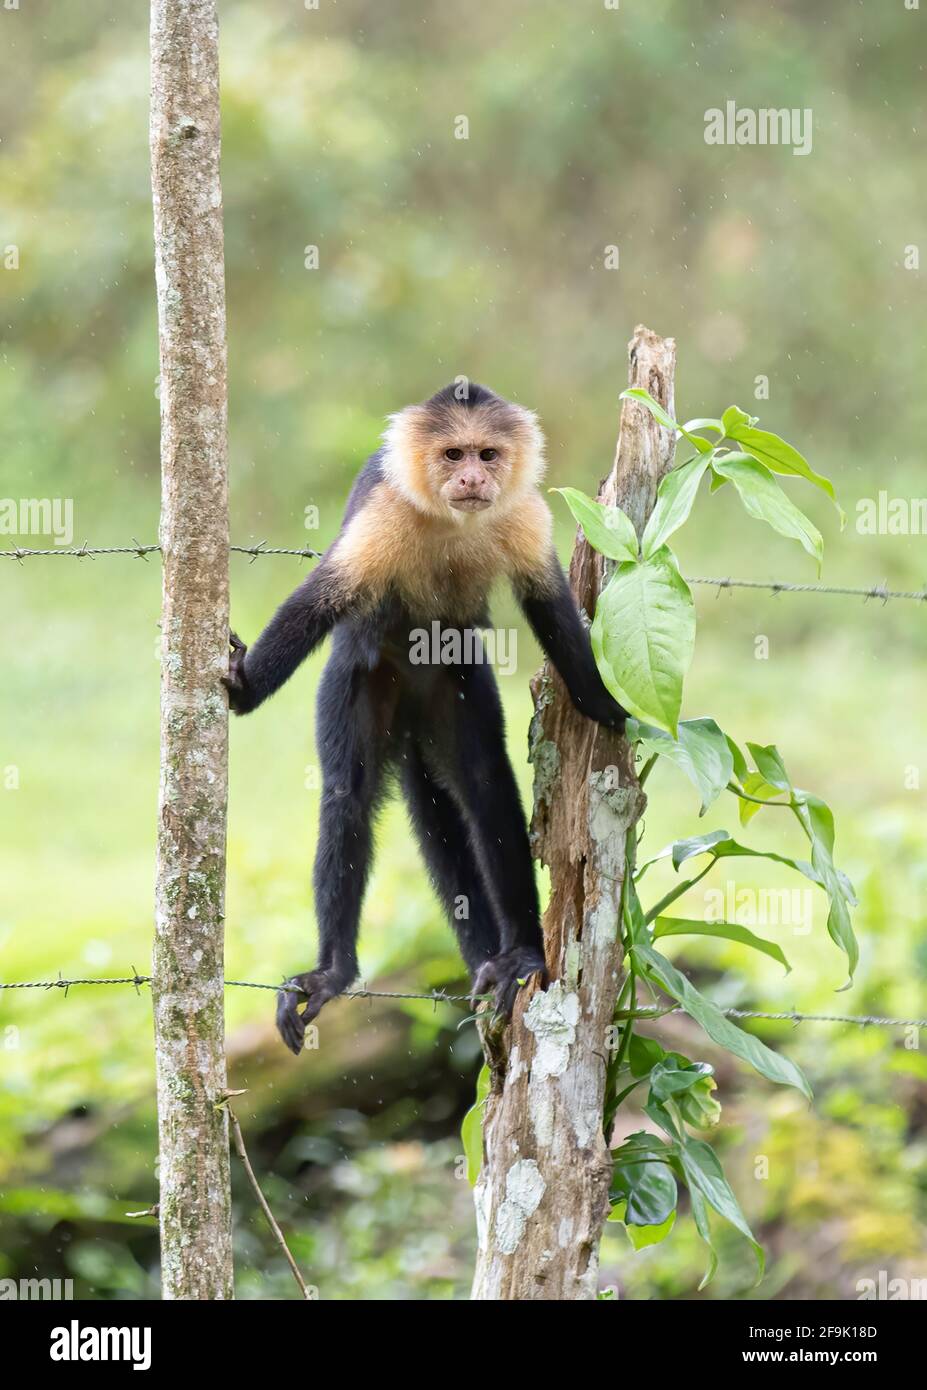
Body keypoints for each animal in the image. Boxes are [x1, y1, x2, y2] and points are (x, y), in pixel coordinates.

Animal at [225, 382, 626, 1054]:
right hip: (358, 682)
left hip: (455, 689)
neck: (453, 520)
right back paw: (333, 971)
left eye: (487, 454)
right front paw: (245, 688)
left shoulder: (522, 514)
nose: (472, 477)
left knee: (485, 789)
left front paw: (607, 705)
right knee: (348, 797)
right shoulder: (385, 512)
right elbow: (320, 598)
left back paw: (519, 956)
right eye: (453, 454)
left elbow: (550, 609)